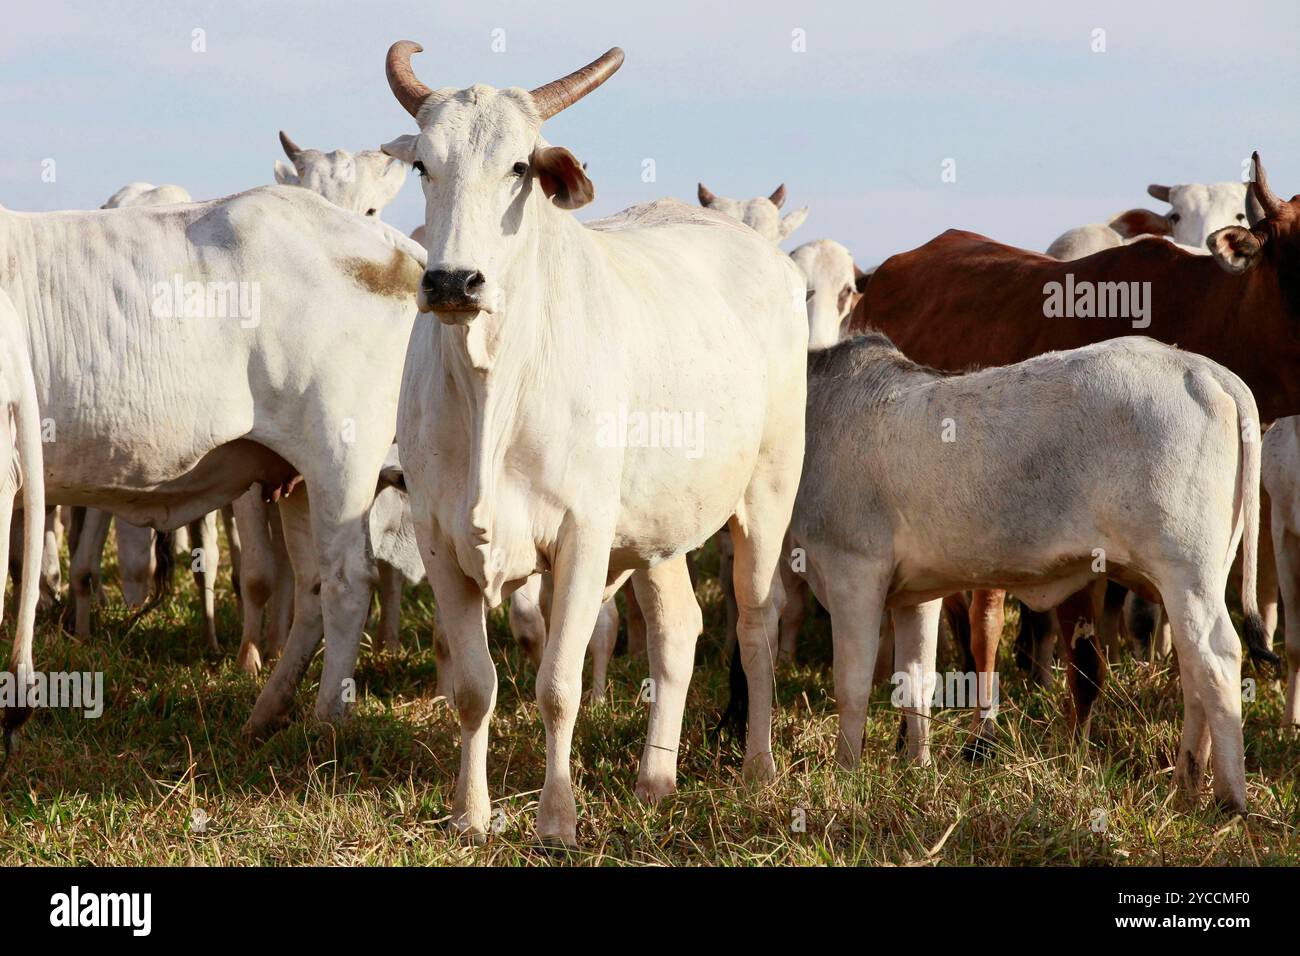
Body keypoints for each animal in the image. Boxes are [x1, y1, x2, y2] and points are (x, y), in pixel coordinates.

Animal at [381, 40, 807, 845]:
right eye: (423, 164)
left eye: (519, 165)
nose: (453, 282)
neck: (492, 379)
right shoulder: (439, 538)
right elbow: (474, 688)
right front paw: (470, 814)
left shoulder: (581, 534)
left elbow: (558, 685)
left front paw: (557, 818)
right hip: (658, 531)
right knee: (678, 630)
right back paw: (655, 778)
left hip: (767, 495)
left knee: (758, 623)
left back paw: (758, 767)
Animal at [792, 333, 1266, 813]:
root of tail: (1203, 370)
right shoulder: (916, 595)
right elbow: (915, 679)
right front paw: (916, 767)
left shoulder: (853, 572)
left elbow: (851, 684)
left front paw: (845, 776)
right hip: (1191, 581)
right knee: (1193, 666)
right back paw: (1187, 782)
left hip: (1187, 573)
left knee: (1217, 660)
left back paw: (1228, 799)